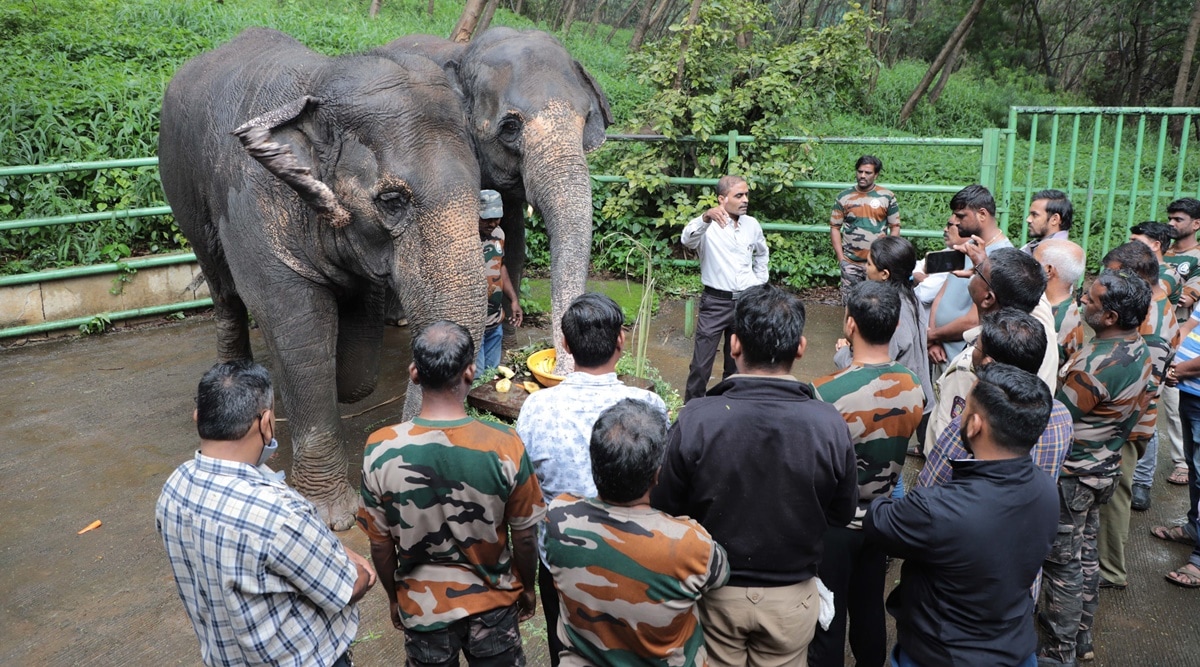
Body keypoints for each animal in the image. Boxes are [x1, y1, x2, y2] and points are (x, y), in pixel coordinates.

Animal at [158, 27, 485, 529]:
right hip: (183, 189)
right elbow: (299, 331)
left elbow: (359, 365)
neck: (319, 86)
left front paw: (340, 381)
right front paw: (334, 515)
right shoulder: (256, 206)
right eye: (392, 201)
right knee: (222, 286)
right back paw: (234, 369)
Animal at [374, 28, 613, 371]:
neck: (466, 56)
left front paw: (509, 342)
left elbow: (515, 240)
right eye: (510, 127)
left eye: (585, 119)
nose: (563, 367)